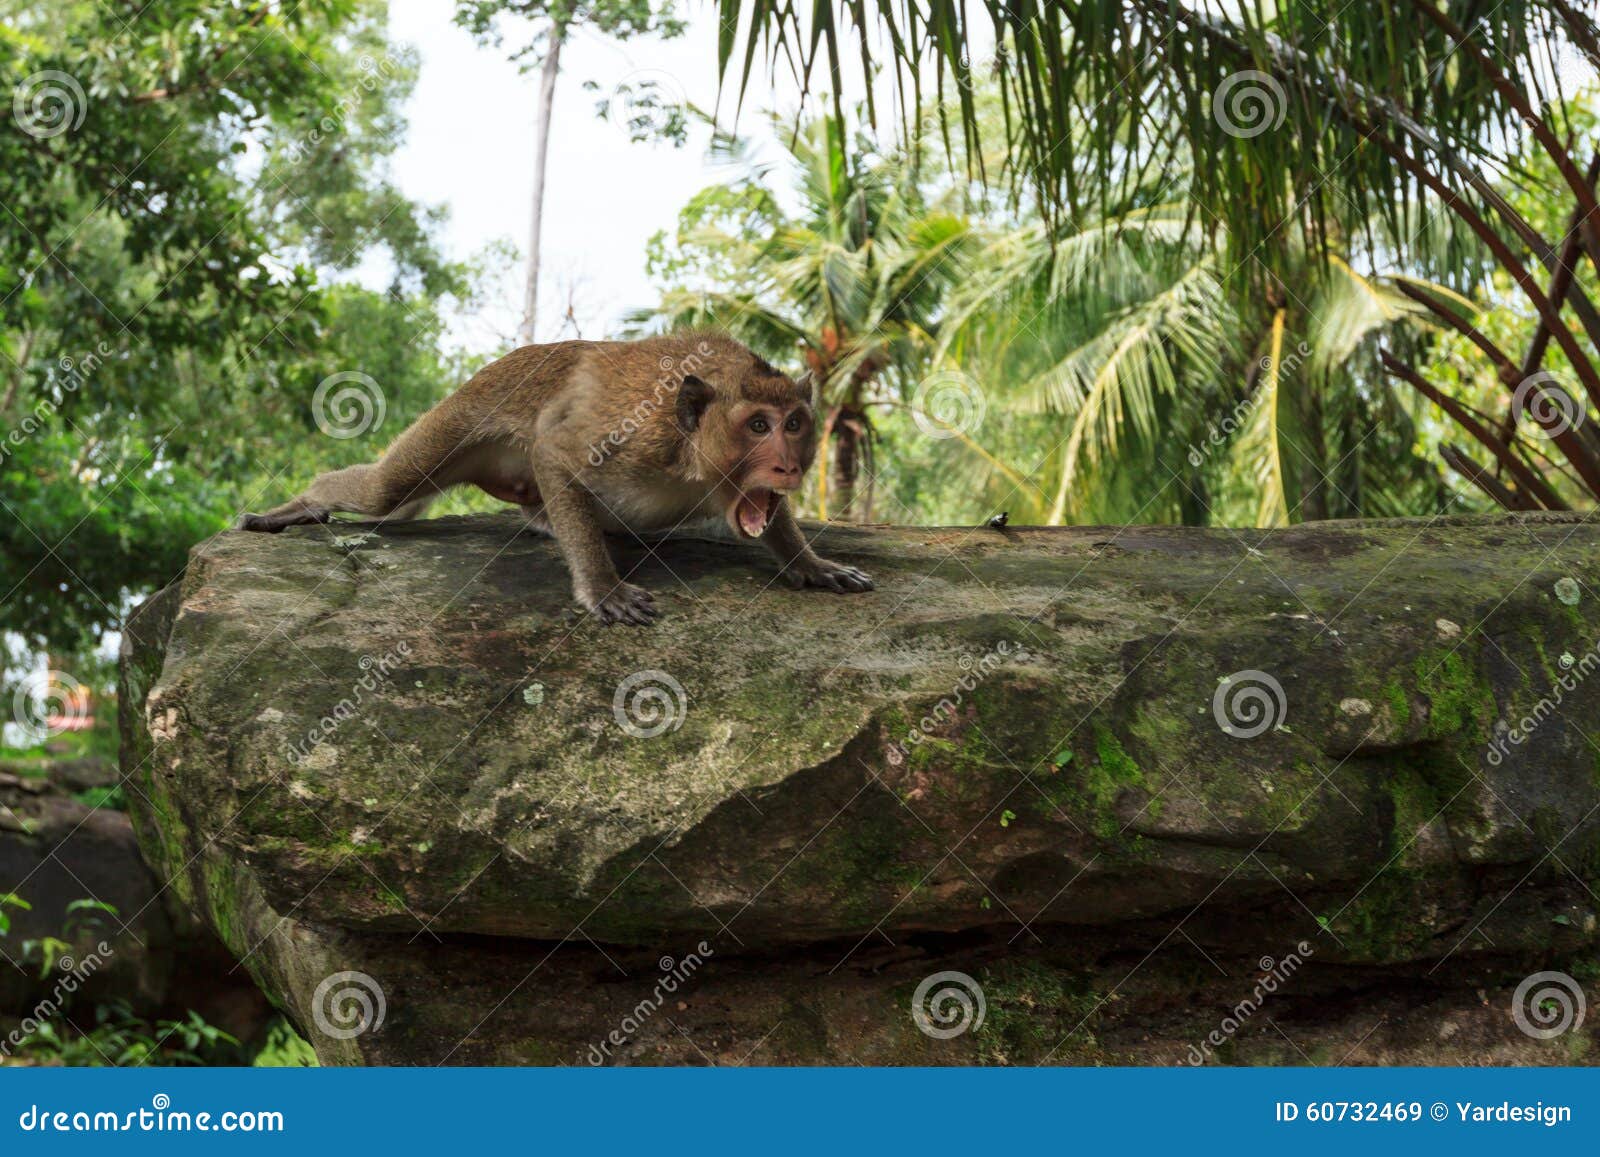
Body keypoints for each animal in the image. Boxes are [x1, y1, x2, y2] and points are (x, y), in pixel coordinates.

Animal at [237, 332, 874, 625]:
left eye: (795, 424)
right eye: (758, 425)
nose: (789, 465)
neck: (694, 456)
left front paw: (811, 563)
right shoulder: (636, 434)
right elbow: (555, 452)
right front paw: (602, 587)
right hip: (461, 418)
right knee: (385, 490)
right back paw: (300, 505)